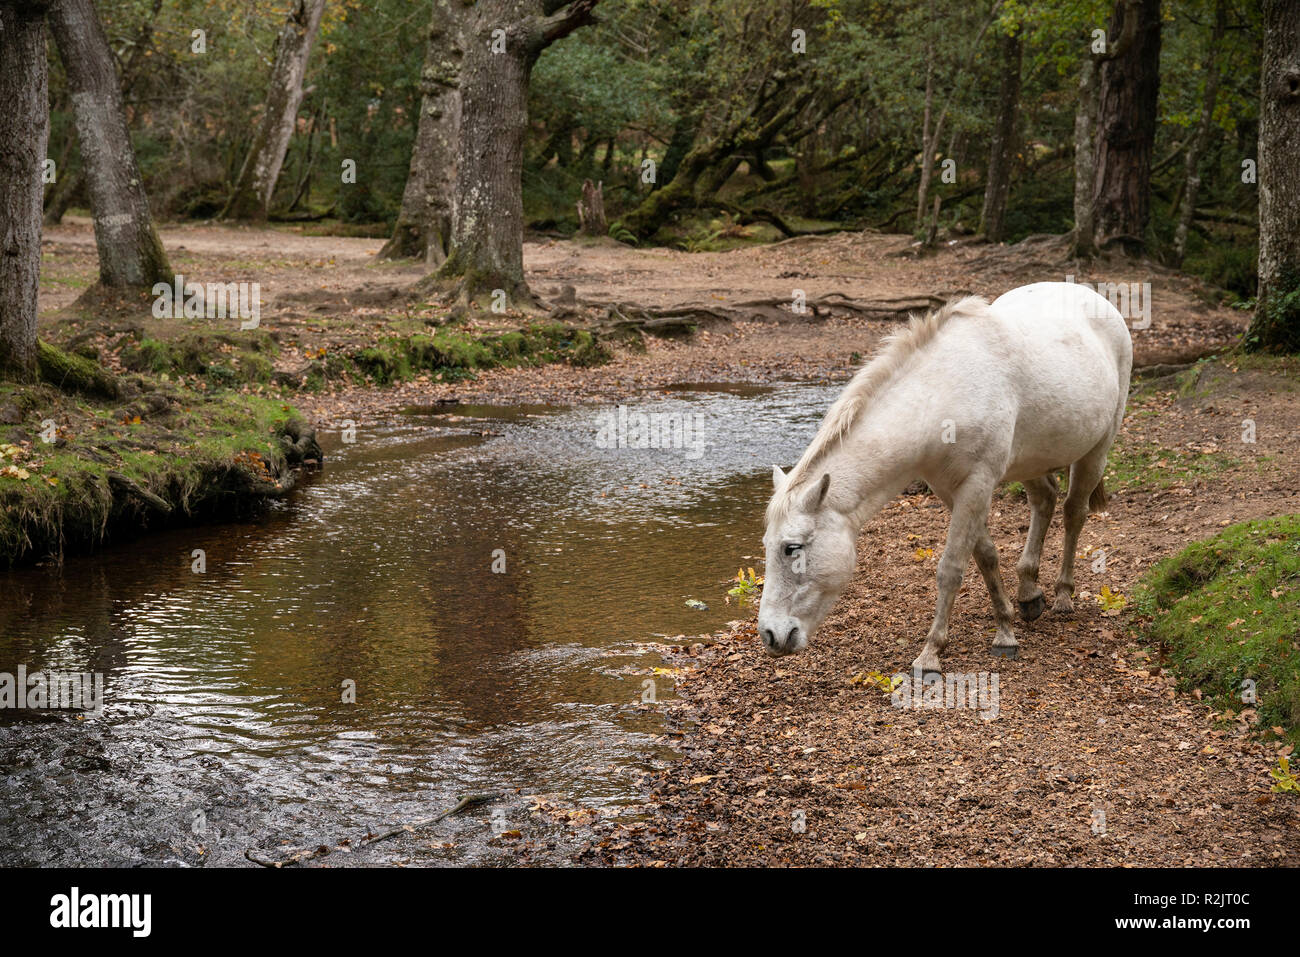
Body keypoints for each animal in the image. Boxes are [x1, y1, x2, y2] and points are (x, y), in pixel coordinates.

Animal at [757, 281, 1133, 674]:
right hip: (1030, 460)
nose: (771, 635)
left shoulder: (977, 485)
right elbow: (985, 555)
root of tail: (1095, 298)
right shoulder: (951, 489)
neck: (942, 393)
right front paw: (1005, 626)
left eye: (792, 548)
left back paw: (1062, 595)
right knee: (1044, 500)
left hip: (1097, 450)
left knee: (1074, 513)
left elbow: (951, 568)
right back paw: (1030, 593)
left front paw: (933, 654)